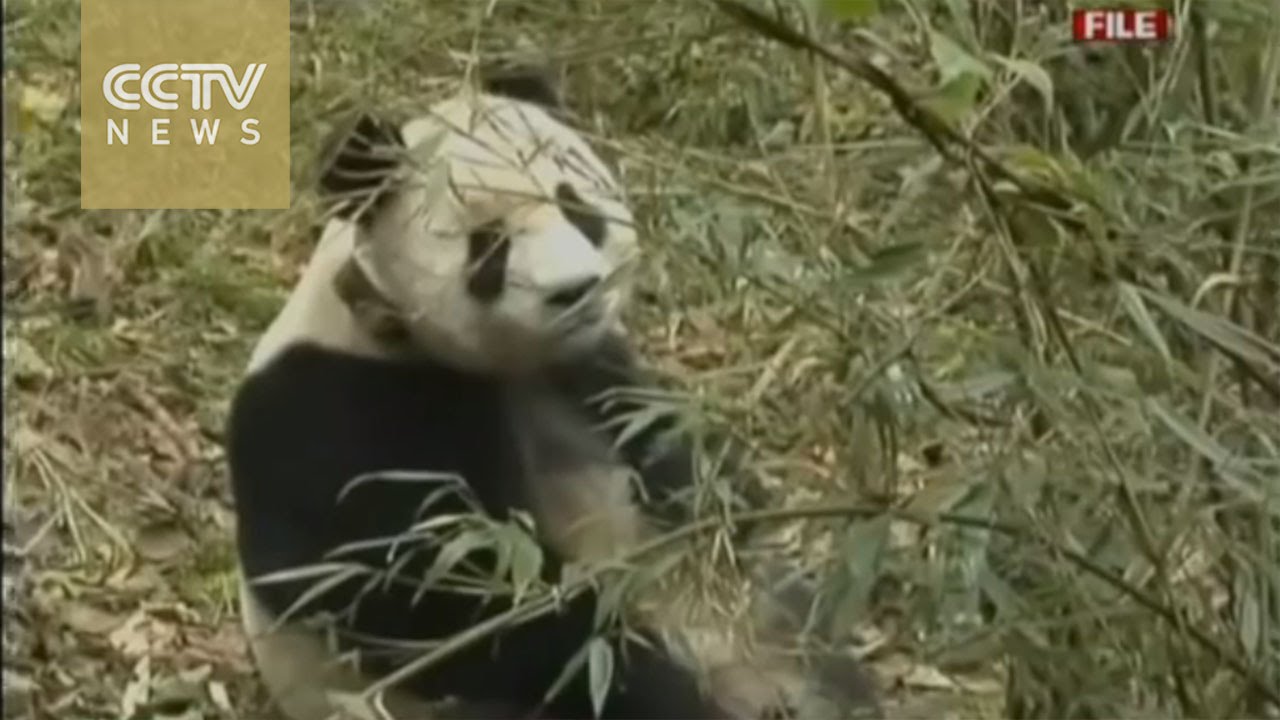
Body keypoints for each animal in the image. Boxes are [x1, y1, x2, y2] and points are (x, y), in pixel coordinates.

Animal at [226, 62, 881, 720]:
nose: (576, 290)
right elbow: (442, 595)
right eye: (489, 245)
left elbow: (686, 471)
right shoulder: (340, 412)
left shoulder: (594, 371)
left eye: (576, 206)